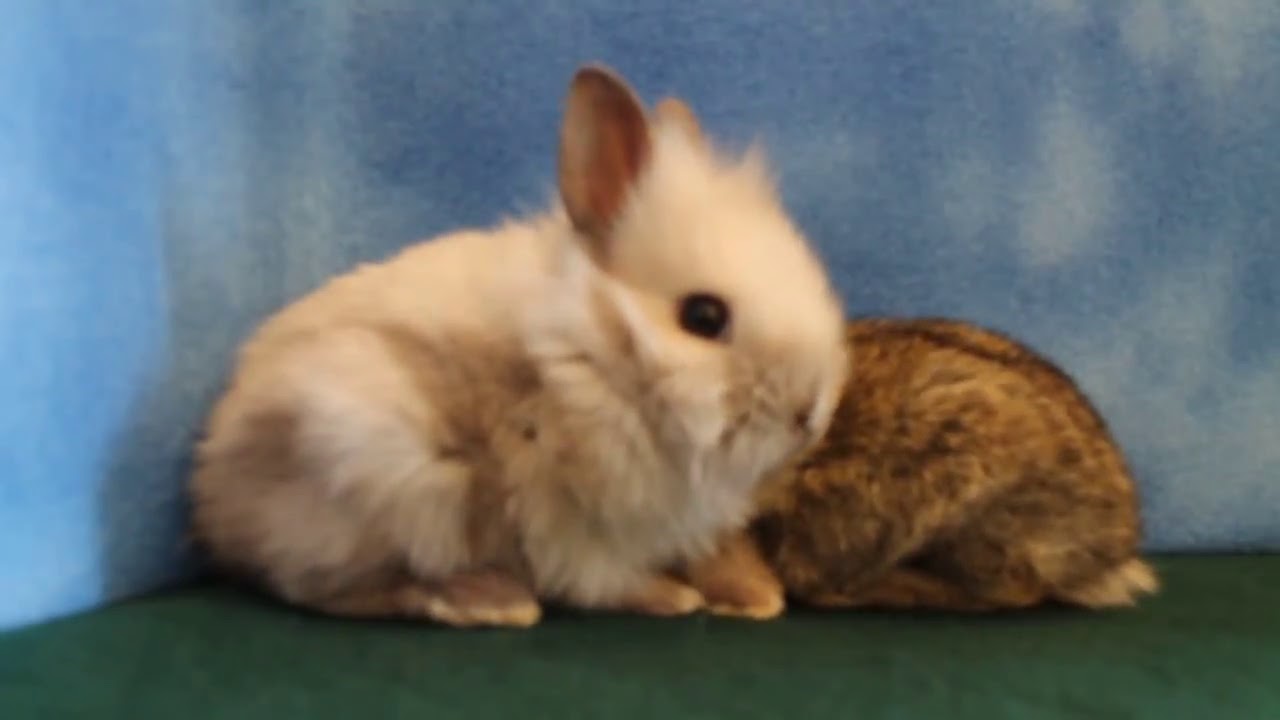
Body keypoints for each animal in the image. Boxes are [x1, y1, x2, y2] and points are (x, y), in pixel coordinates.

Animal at [188, 64, 849, 628]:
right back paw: (488, 600)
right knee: (327, 591)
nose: (810, 415)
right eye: (703, 316)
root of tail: (213, 508)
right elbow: (601, 579)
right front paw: (671, 597)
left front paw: (757, 597)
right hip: (373, 471)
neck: (602, 352)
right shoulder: (576, 525)